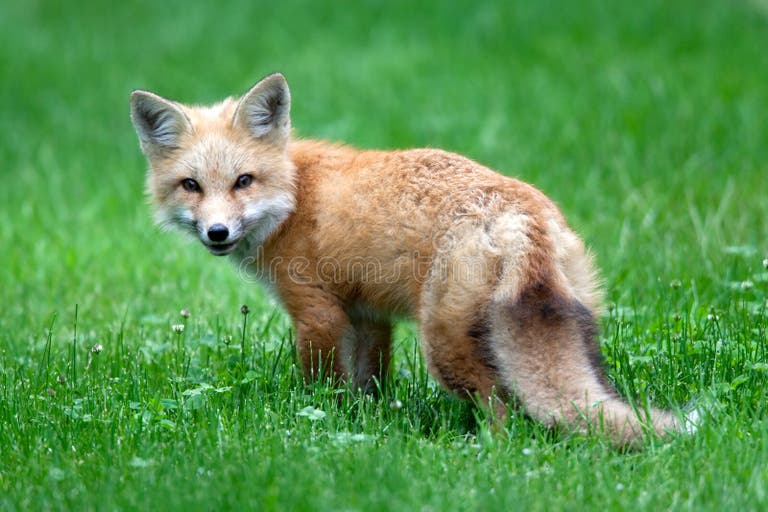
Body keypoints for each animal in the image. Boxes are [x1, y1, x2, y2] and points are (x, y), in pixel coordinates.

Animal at [130, 72, 693, 445]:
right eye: (191, 186)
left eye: (243, 181)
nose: (217, 232)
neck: (295, 195)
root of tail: (521, 213)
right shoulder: (366, 315)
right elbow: (368, 385)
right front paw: (363, 423)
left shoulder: (316, 312)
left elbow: (322, 390)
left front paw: (318, 425)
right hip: (575, 325)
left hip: (445, 345)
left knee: (502, 407)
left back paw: (490, 452)